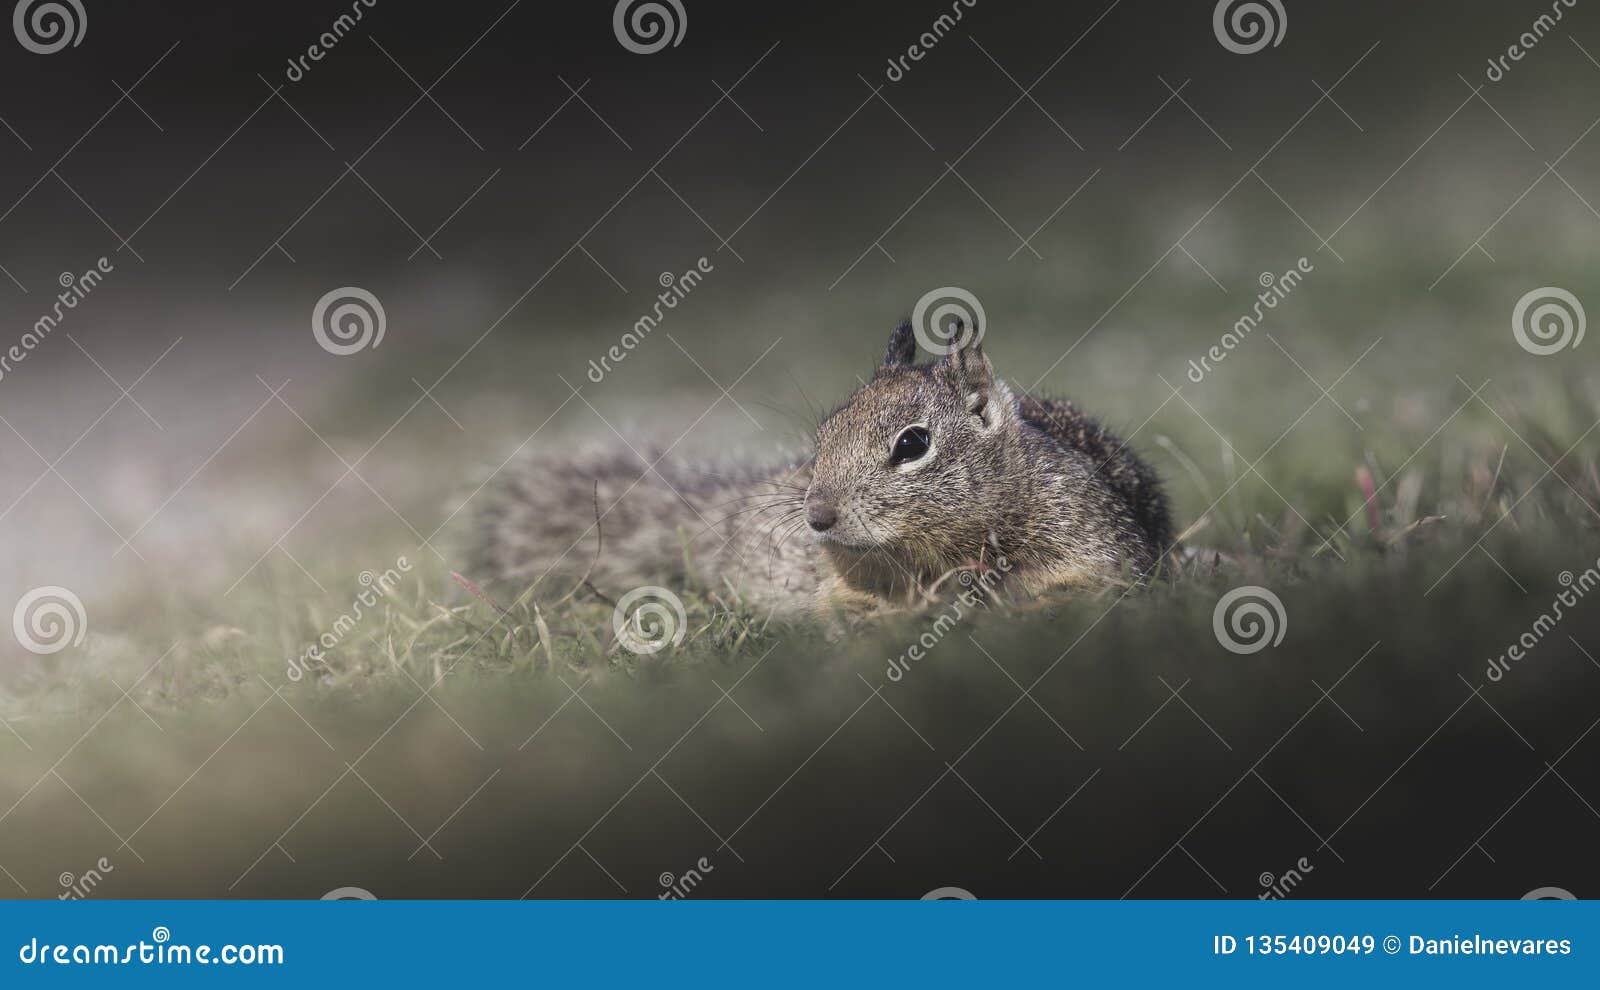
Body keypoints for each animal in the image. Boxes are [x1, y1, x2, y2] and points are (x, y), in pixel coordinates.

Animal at [468, 320, 1175, 622]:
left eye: (913, 444)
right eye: (825, 434)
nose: (816, 517)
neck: (943, 546)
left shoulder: (1092, 547)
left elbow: (1075, 585)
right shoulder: (842, 581)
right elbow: (852, 608)